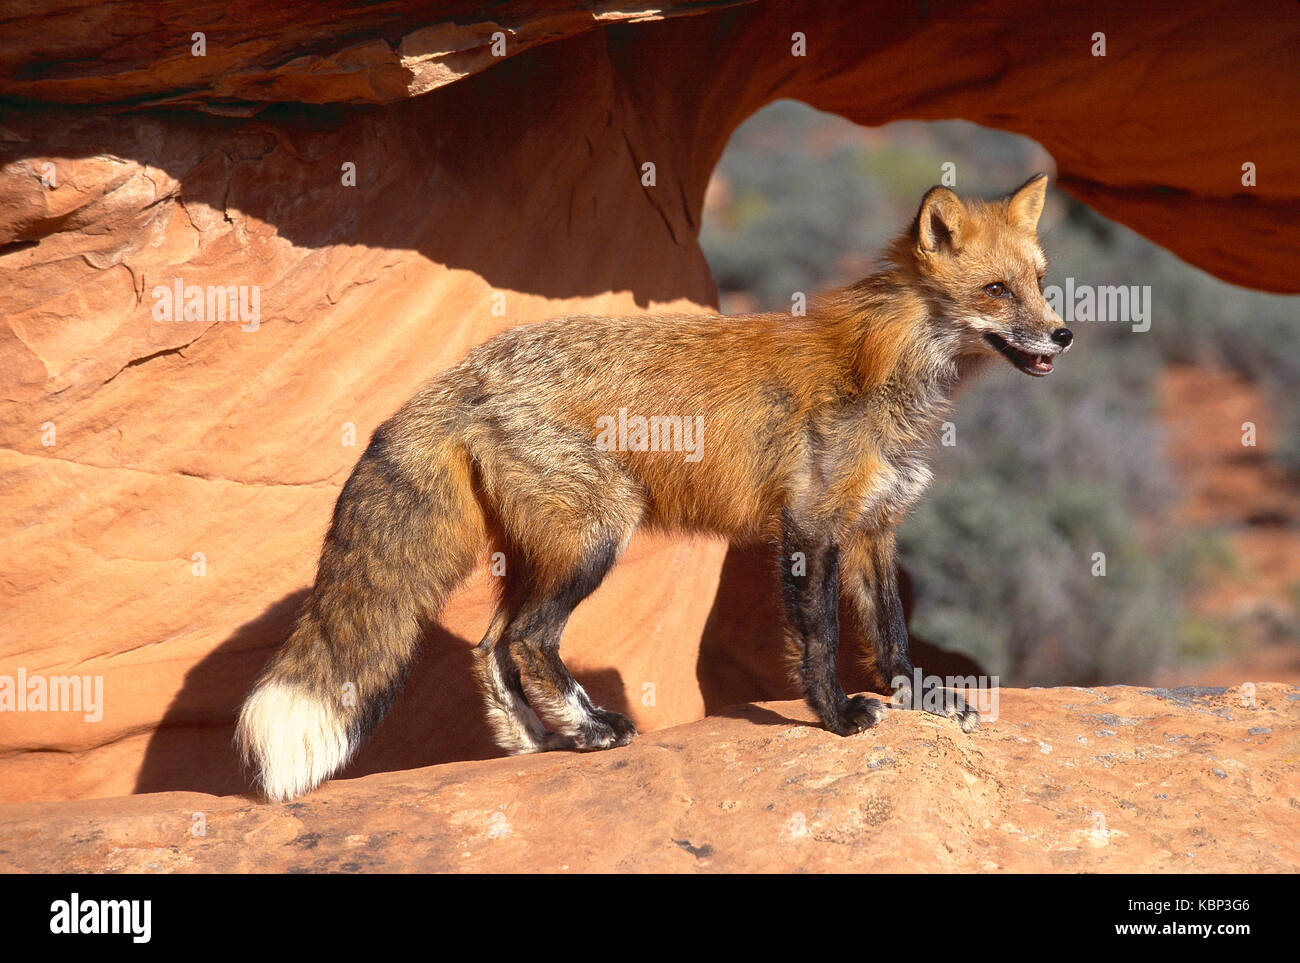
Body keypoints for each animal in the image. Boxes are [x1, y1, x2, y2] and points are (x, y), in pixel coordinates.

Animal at [236, 173, 1071, 801]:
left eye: (1040, 283)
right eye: (996, 290)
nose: (1063, 334)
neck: (884, 369)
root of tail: (464, 370)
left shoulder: (872, 525)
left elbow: (892, 636)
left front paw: (923, 701)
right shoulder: (810, 525)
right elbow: (823, 639)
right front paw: (834, 717)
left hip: (543, 549)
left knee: (488, 646)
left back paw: (539, 744)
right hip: (597, 535)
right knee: (526, 640)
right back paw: (591, 729)